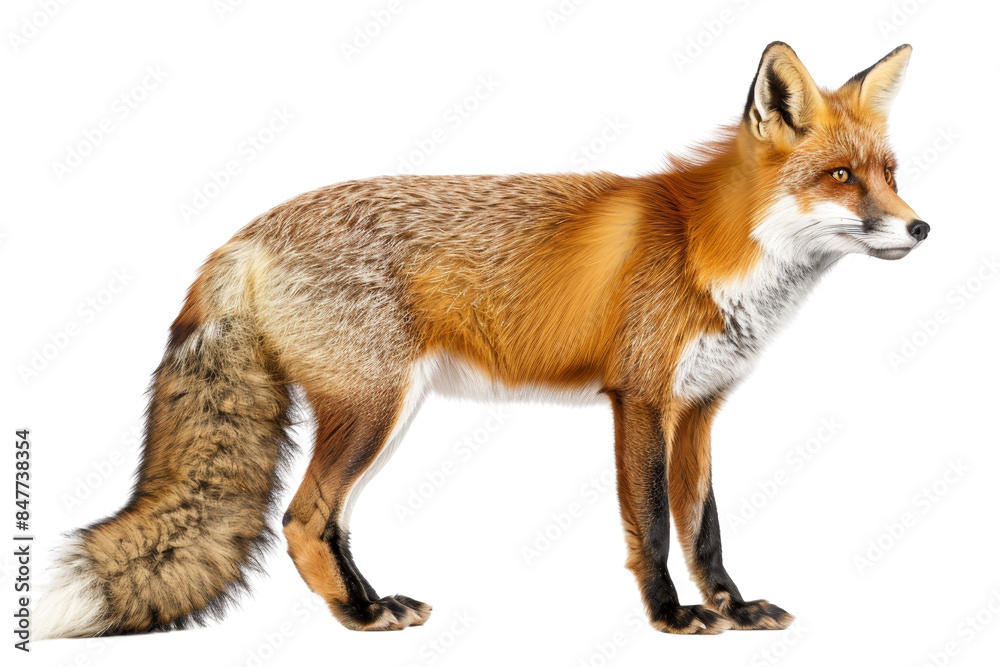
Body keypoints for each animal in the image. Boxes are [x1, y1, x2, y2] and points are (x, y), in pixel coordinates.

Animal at [35, 41, 928, 638]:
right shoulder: (640, 399)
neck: (710, 249)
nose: (922, 228)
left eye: (890, 173)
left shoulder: (700, 407)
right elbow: (652, 527)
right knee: (301, 518)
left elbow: (704, 528)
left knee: (329, 521)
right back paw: (356, 614)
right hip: (374, 409)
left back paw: (373, 600)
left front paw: (733, 606)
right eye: (841, 178)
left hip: (384, 414)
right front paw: (672, 617)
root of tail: (246, 233)